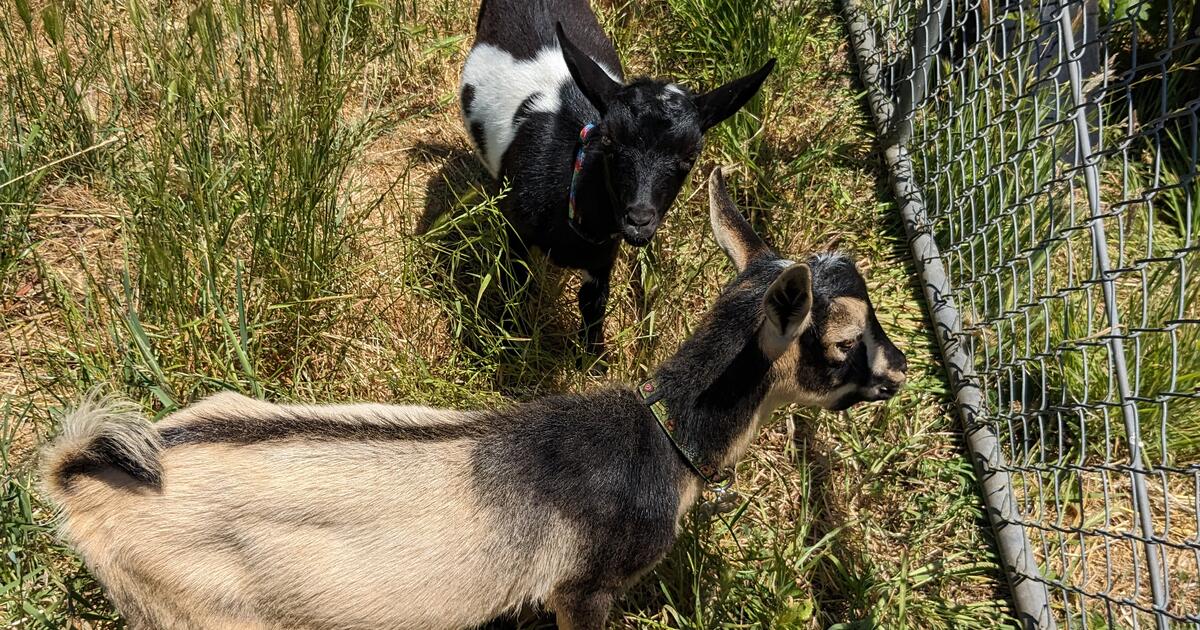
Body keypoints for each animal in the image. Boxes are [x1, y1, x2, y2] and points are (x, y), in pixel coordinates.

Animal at [41, 170, 908, 630]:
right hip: (204, 612)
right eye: (841, 342)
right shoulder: (585, 587)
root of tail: (80, 479)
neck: (663, 439)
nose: (898, 372)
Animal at [460, 0, 774, 360]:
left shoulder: (604, 254)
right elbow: (517, 288)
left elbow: (593, 304)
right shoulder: (516, 235)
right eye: (609, 140)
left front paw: (594, 359)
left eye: (690, 156)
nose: (639, 219)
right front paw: (512, 344)